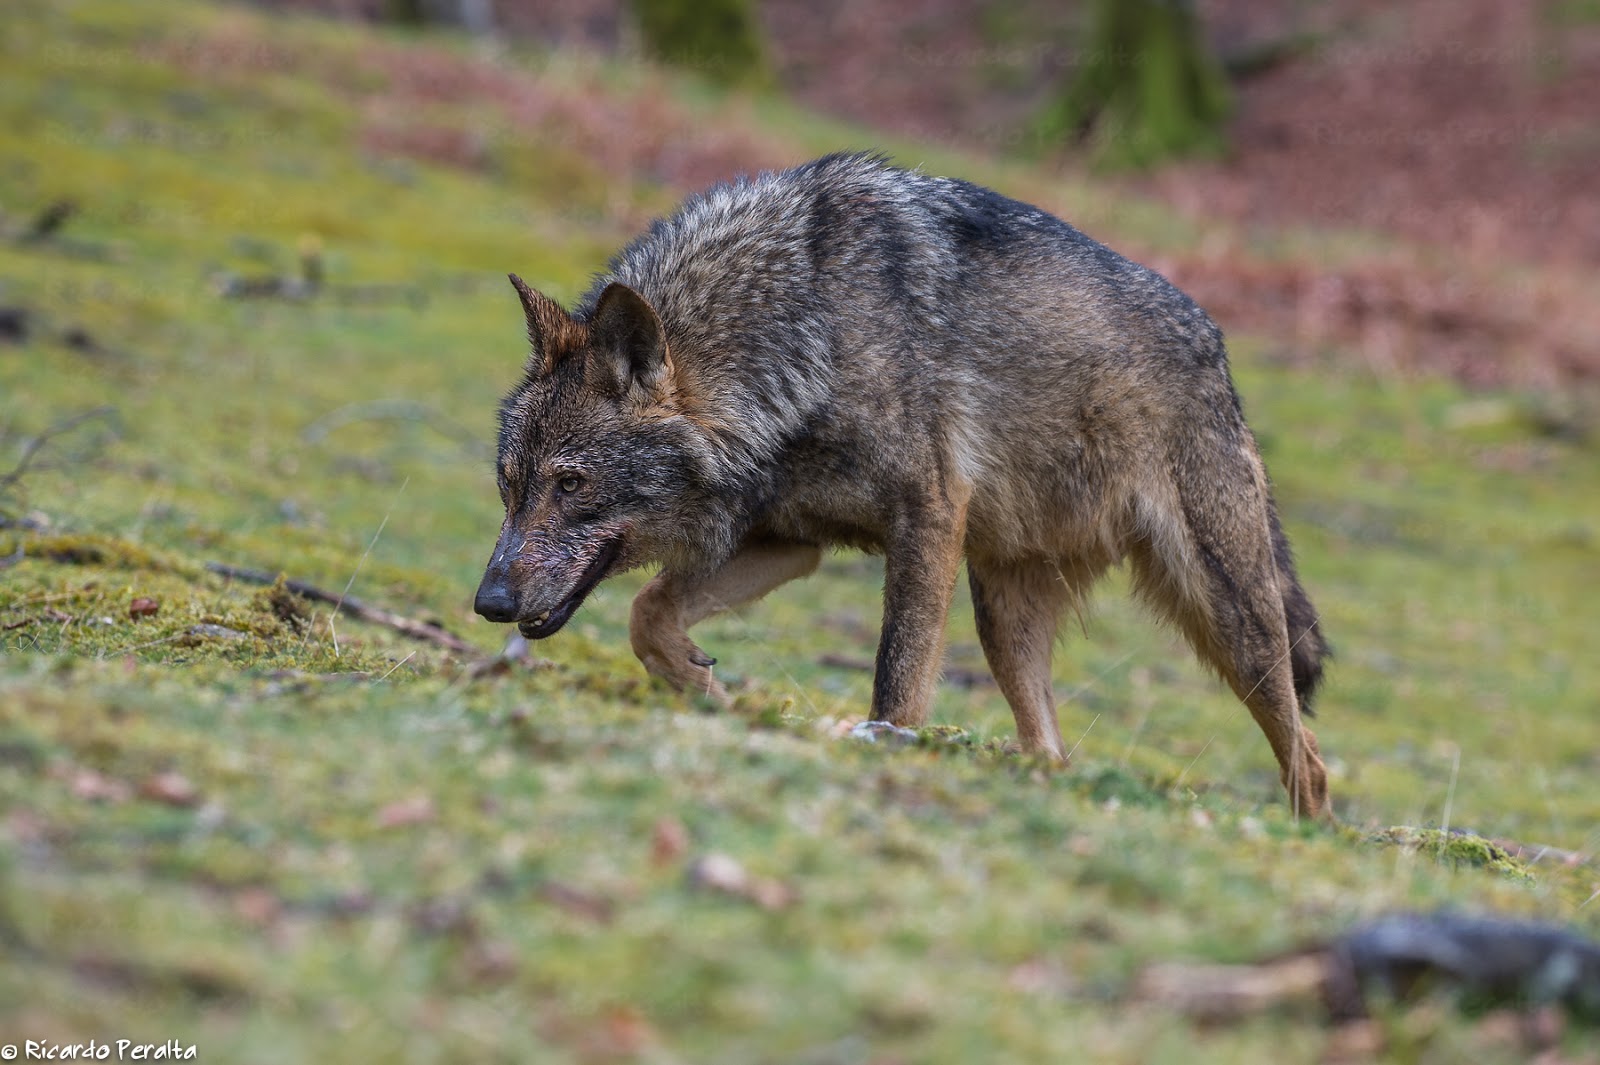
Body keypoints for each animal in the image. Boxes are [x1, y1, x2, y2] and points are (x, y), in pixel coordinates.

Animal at [474, 152, 1330, 816]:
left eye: (571, 483)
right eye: (510, 487)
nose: (489, 602)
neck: (804, 333)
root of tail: (1219, 350)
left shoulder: (927, 518)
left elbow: (896, 682)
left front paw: (877, 747)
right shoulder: (790, 539)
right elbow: (648, 614)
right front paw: (705, 688)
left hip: (1233, 621)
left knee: (1312, 760)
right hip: (1002, 619)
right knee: (1051, 748)